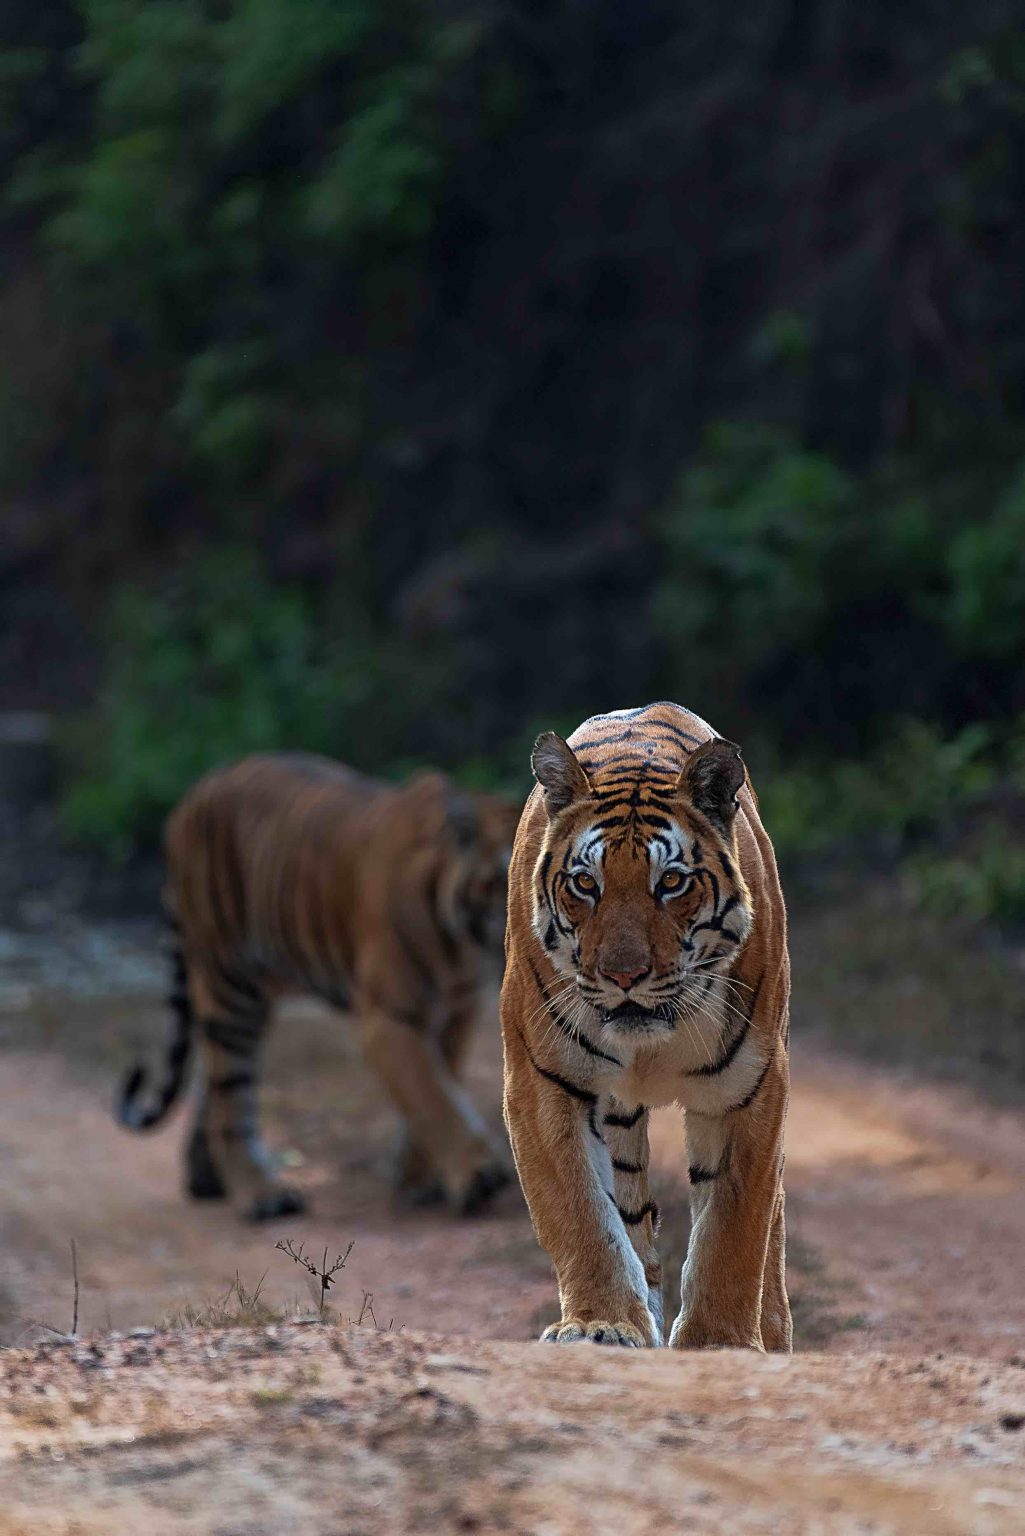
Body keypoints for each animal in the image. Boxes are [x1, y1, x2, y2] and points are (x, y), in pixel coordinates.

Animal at [118, 753, 519, 1221]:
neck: (464, 944)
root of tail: (192, 797)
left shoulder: (457, 1013)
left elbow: (437, 1089)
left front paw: (418, 1179)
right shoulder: (388, 1017)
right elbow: (430, 1094)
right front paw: (475, 1173)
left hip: (257, 985)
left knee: (211, 1081)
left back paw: (207, 1179)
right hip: (229, 984)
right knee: (230, 1099)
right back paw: (262, 1194)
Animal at [500, 701, 791, 1350]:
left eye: (672, 882)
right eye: (586, 883)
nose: (624, 975)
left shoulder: (749, 1089)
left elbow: (734, 1228)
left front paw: (720, 1341)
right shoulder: (543, 1082)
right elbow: (581, 1214)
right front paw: (600, 1324)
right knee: (631, 1216)